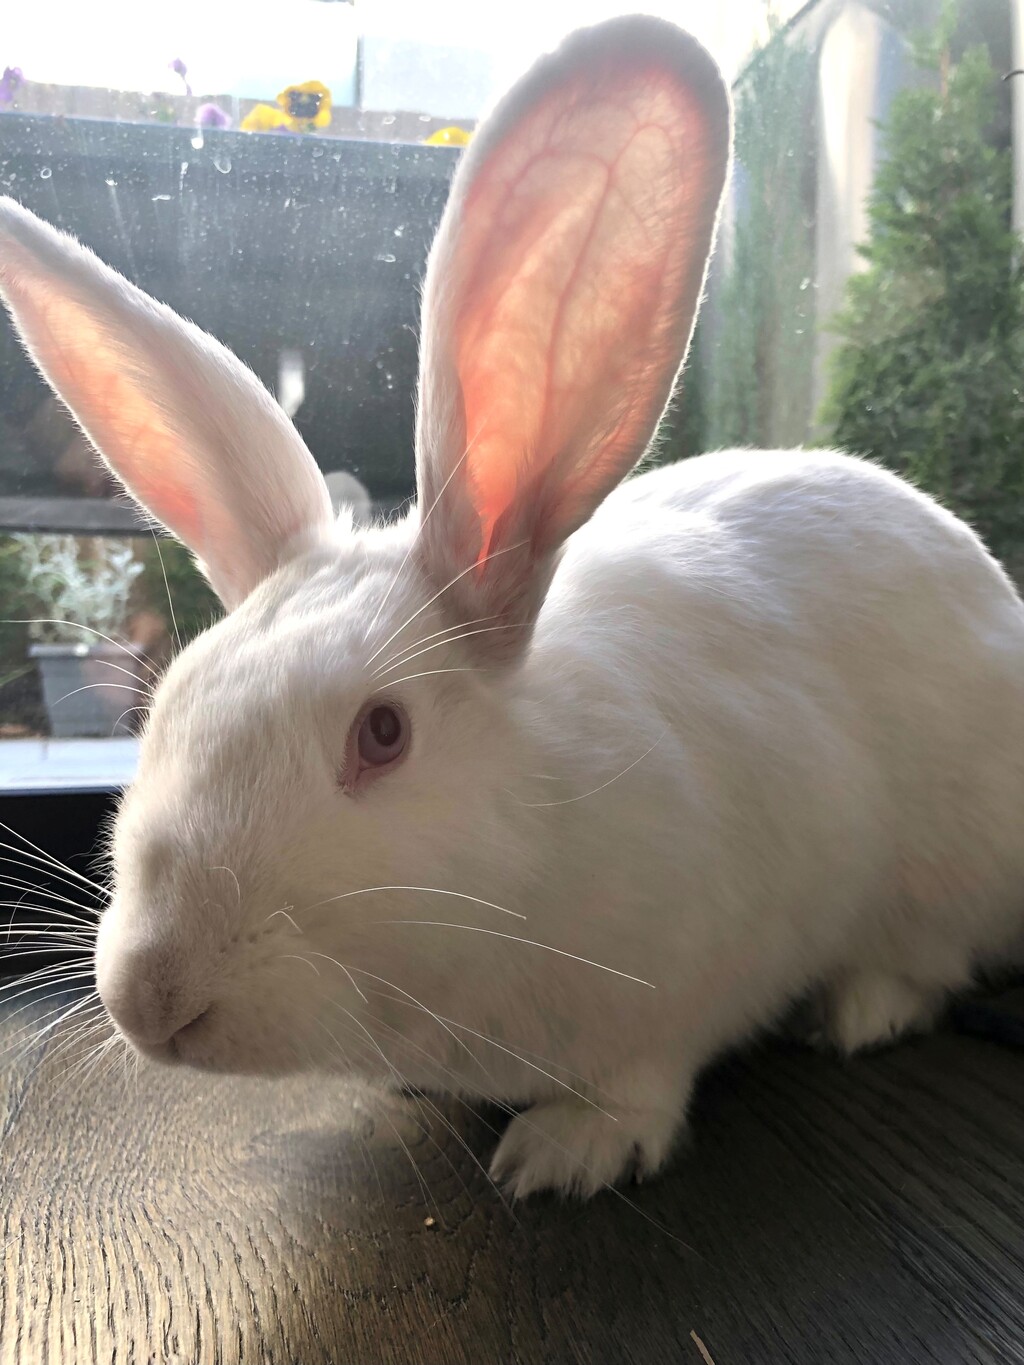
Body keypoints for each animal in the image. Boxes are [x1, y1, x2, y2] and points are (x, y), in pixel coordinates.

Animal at [3, 13, 1024, 1202]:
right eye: (164, 709)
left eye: (383, 734)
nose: (150, 996)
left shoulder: (690, 977)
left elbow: (640, 1084)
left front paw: (562, 1154)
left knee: (929, 959)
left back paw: (858, 1010)